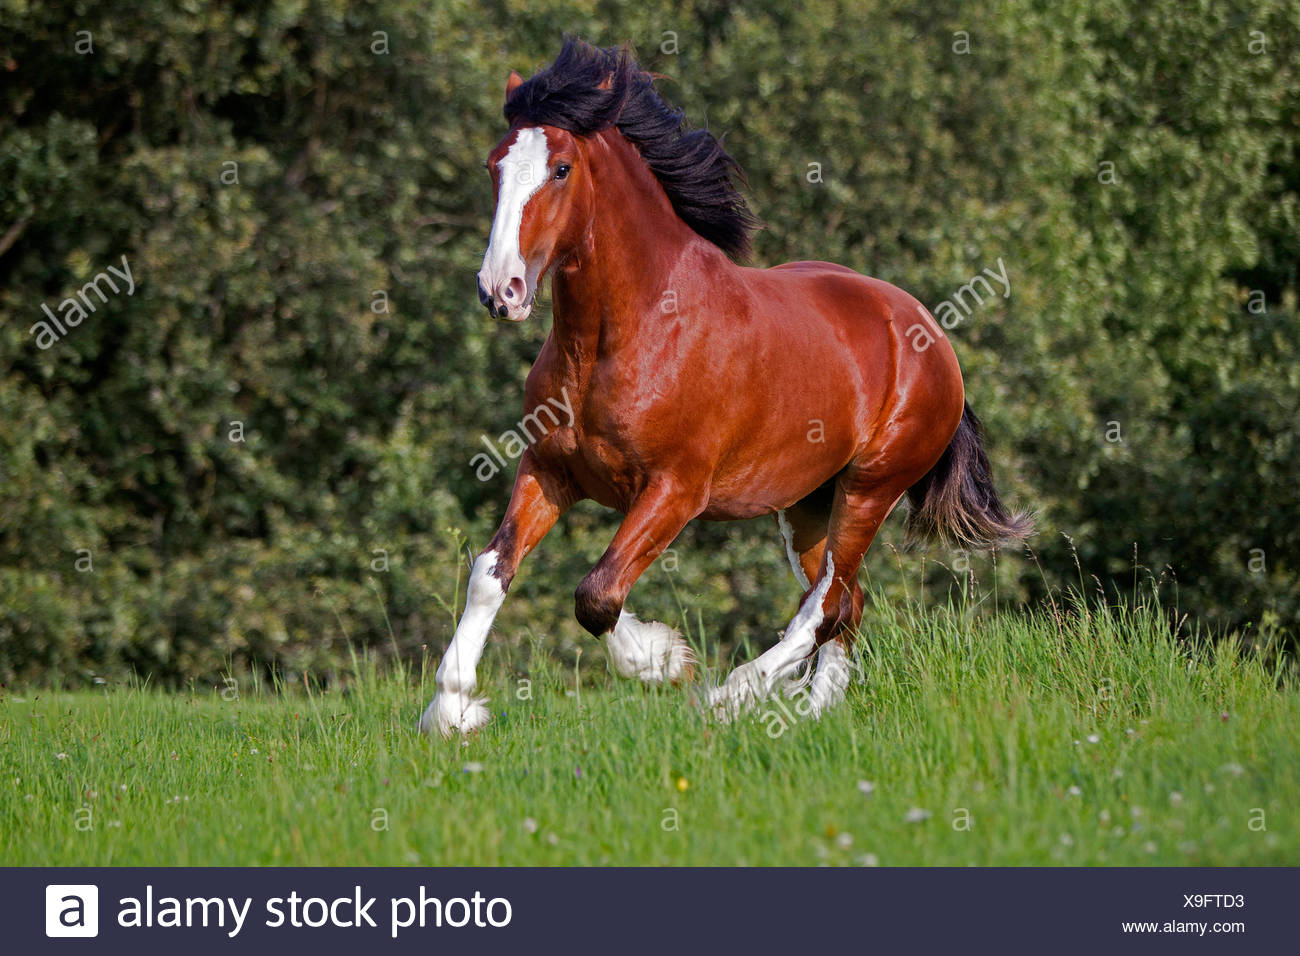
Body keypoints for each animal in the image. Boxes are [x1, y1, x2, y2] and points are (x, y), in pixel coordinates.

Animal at [419, 37, 1031, 737]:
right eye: (495, 165)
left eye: (562, 169)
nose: (502, 291)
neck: (625, 333)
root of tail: (927, 329)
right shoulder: (550, 469)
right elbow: (490, 572)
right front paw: (450, 710)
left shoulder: (675, 490)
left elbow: (598, 594)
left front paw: (664, 659)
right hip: (808, 504)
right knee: (845, 600)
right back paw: (813, 715)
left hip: (871, 488)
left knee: (826, 605)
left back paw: (734, 697)